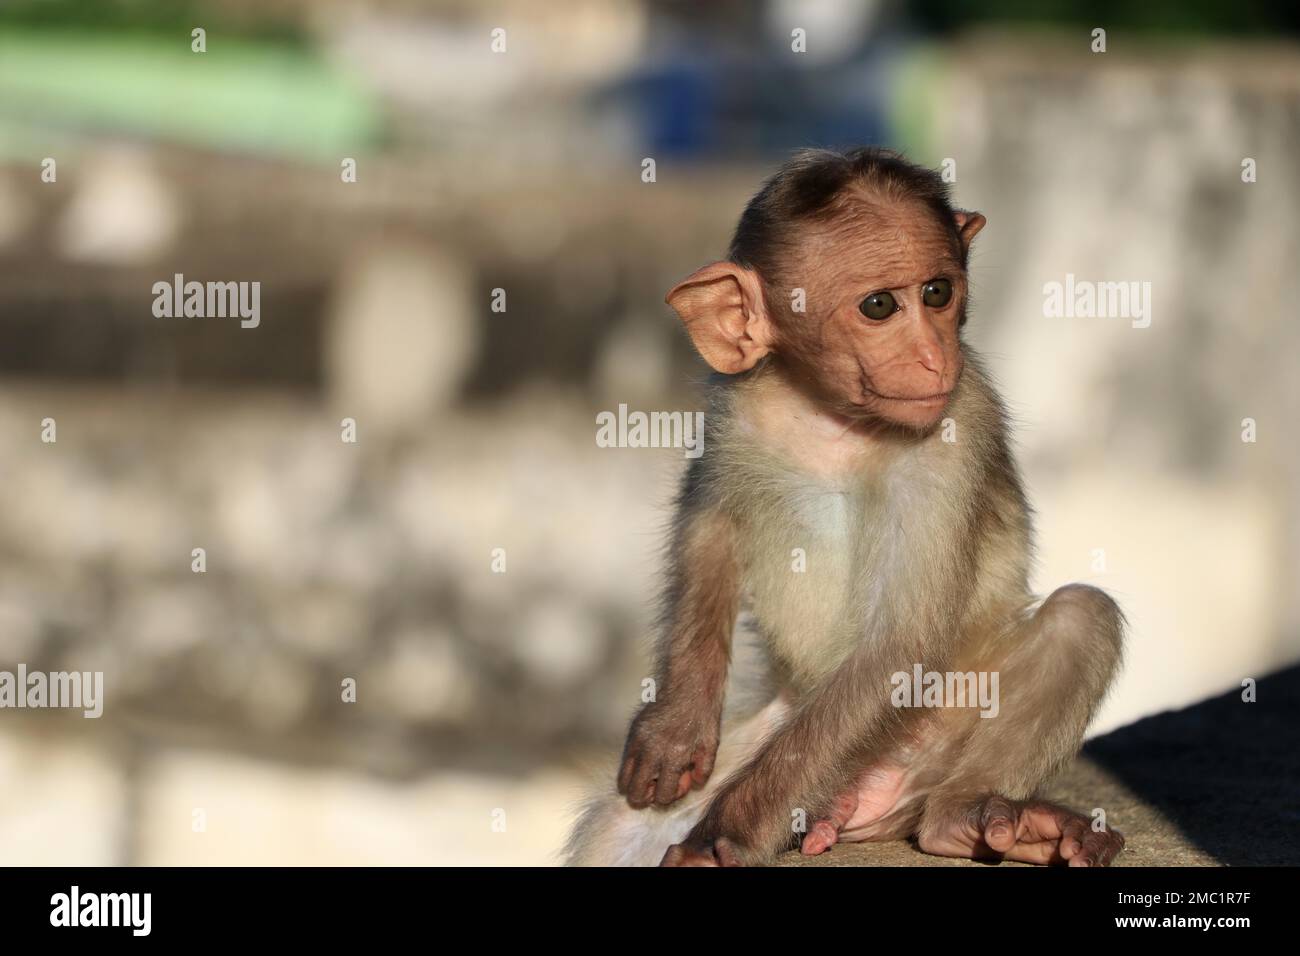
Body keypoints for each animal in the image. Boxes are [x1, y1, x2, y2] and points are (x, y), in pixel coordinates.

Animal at [564, 147, 1125, 868]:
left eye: (938, 293)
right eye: (879, 305)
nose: (932, 355)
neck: (831, 417)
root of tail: (873, 800)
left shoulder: (956, 427)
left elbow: (901, 648)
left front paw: (722, 835)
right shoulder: (736, 407)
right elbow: (708, 521)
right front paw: (676, 726)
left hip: (929, 729)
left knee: (1081, 616)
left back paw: (964, 817)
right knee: (616, 831)